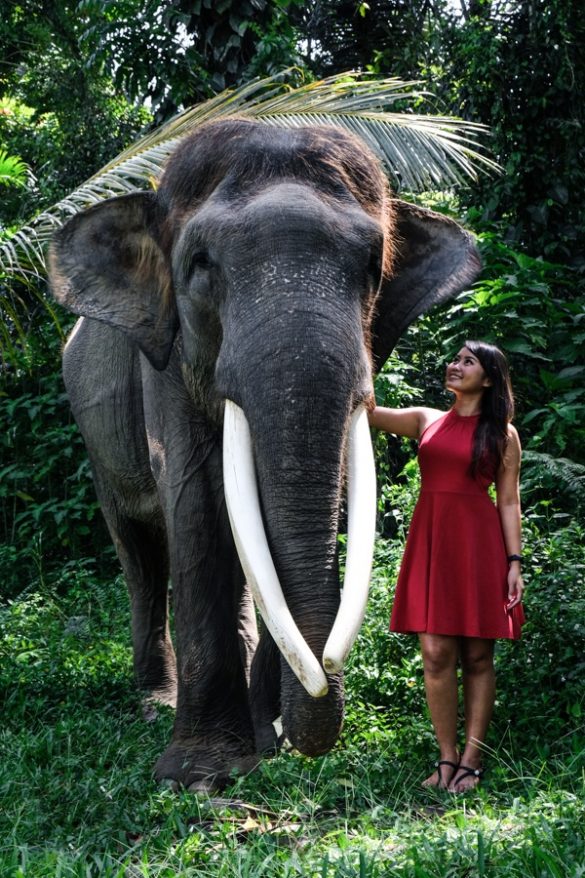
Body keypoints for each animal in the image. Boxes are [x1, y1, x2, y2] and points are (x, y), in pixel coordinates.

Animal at [49, 117, 480, 791]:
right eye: (200, 265)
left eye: (373, 269)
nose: (320, 682)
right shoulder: (165, 363)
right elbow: (196, 501)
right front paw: (197, 774)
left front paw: (265, 741)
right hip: (96, 439)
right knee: (140, 551)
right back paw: (154, 703)